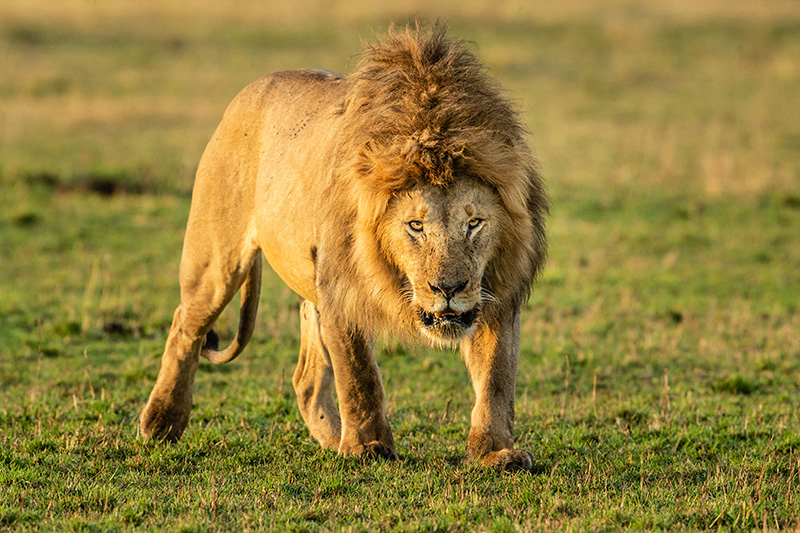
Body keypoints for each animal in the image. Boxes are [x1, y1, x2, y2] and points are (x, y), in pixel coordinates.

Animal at [139, 24, 548, 472]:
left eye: (474, 223)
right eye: (415, 226)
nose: (448, 289)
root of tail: (251, 88)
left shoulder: (497, 295)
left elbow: (496, 375)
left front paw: (495, 452)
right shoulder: (342, 288)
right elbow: (359, 375)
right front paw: (367, 447)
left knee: (305, 376)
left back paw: (332, 438)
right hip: (217, 259)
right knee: (185, 325)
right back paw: (160, 422)